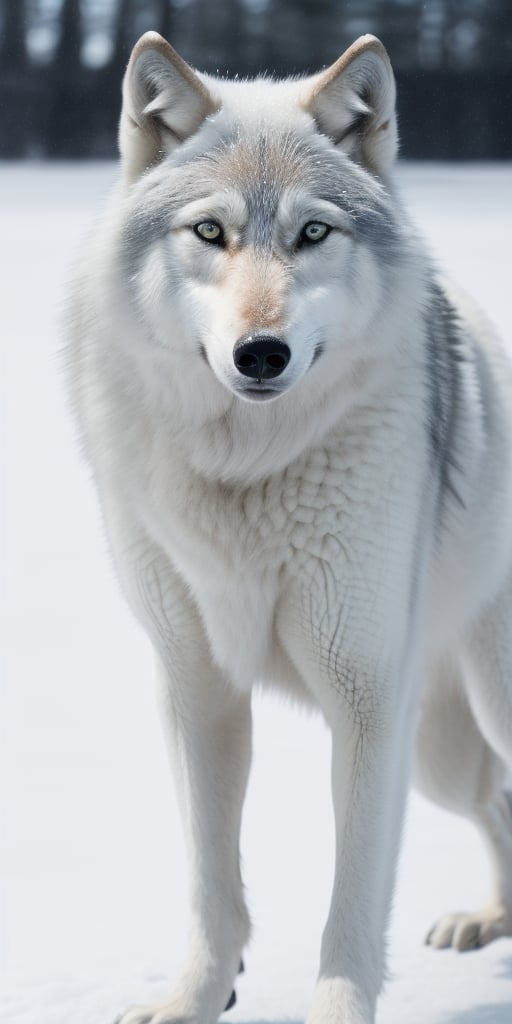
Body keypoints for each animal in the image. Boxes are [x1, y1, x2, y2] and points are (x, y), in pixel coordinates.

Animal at [66, 30, 512, 1024]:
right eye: (210, 233)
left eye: (313, 232)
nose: (261, 353)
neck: (246, 475)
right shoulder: (194, 686)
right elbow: (211, 880)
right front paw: (194, 998)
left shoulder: (366, 700)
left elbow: (352, 906)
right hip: (439, 749)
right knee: (498, 799)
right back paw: (487, 922)